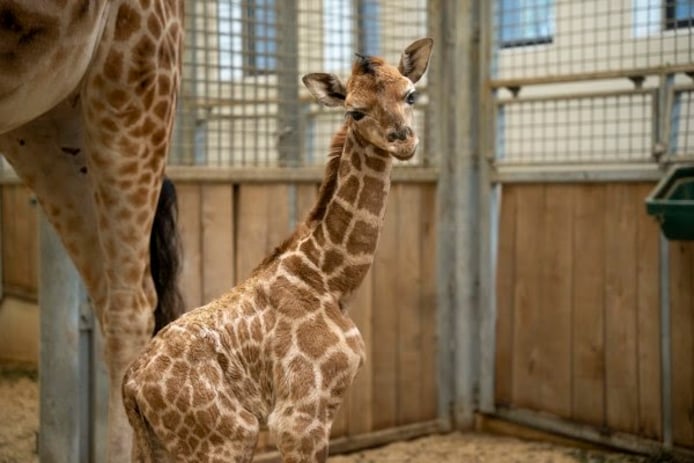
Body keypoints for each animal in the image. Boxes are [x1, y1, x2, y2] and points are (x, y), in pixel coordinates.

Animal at [122, 37, 434, 462]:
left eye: (410, 94)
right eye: (354, 111)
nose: (404, 140)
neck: (331, 280)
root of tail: (131, 386)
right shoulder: (301, 415)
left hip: (156, 445)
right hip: (227, 439)